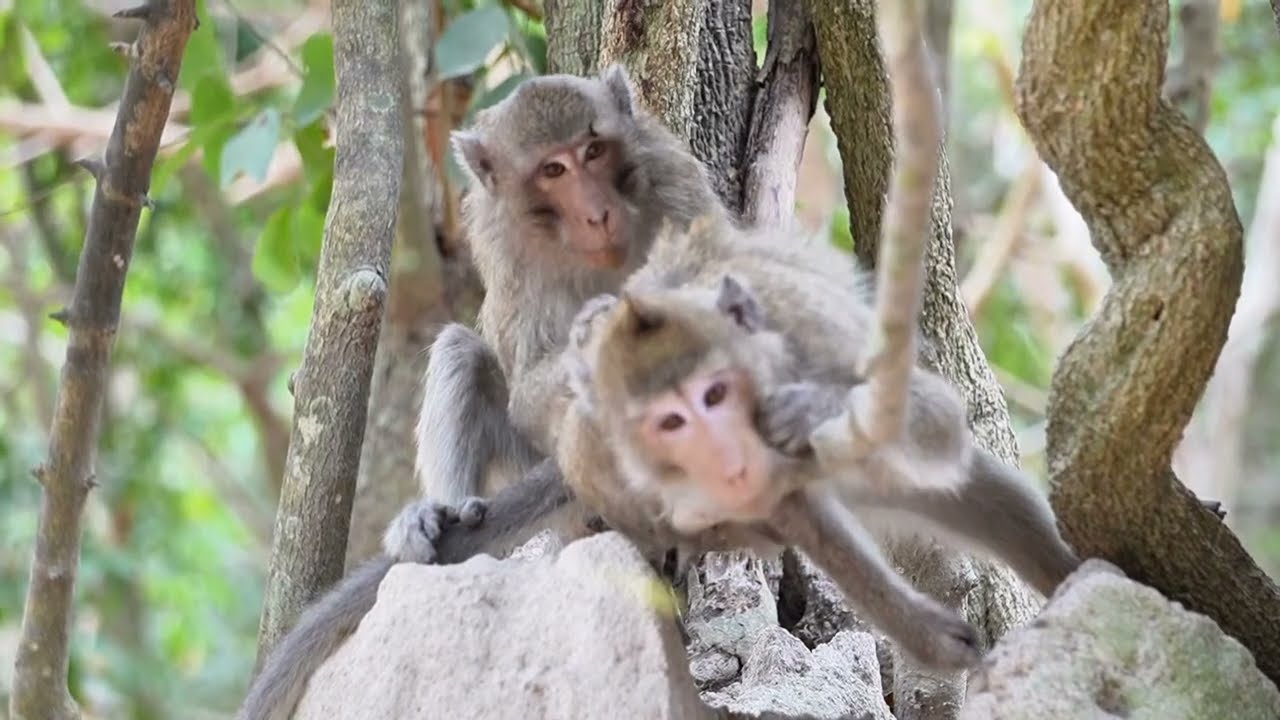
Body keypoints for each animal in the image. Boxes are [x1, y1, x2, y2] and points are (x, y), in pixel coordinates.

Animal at [237, 65, 726, 720]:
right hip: (532, 468)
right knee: (462, 354)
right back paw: (440, 517)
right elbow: (527, 380)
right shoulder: (502, 240)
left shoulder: (674, 177)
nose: (596, 213)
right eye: (553, 170)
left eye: (594, 151)